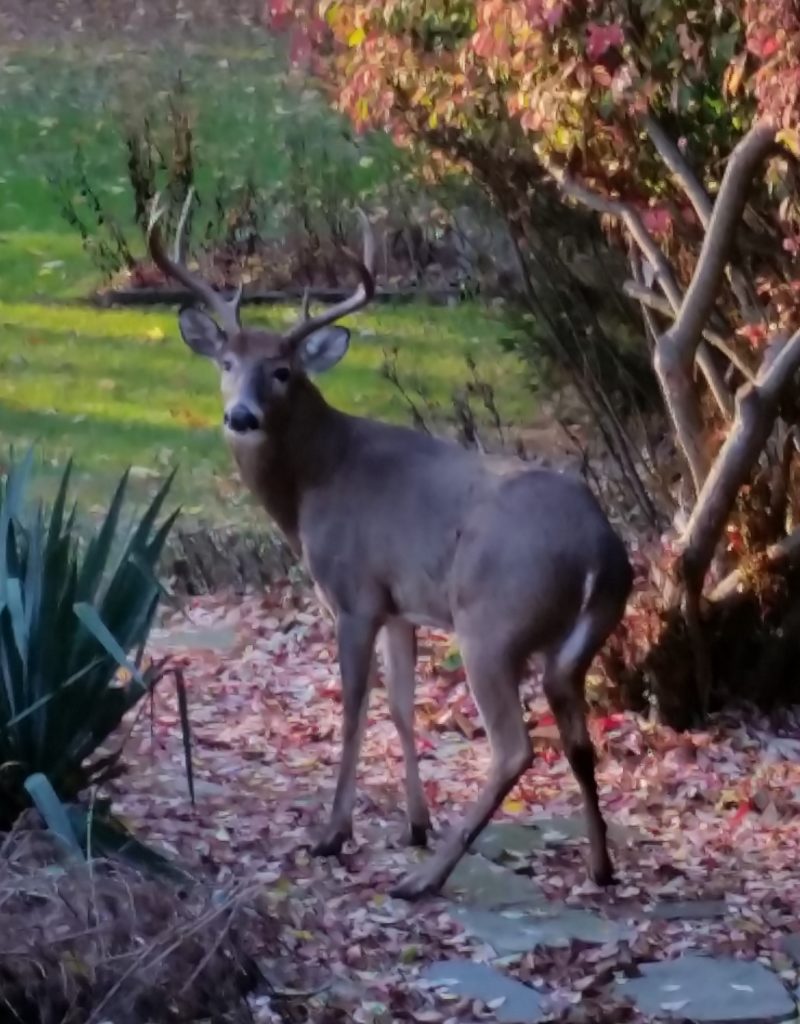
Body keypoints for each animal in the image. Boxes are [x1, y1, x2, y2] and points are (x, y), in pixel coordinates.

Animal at [147, 195, 633, 900]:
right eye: (226, 364)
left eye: (283, 372)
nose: (241, 416)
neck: (315, 482)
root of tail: (603, 551)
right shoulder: (402, 603)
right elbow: (404, 707)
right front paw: (414, 824)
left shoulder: (353, 594)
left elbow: (356, 707)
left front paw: (333, 833)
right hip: (572, 644)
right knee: (578, 739)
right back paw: (598, 867)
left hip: (493, 623)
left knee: (514, 747)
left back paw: (425, 880)